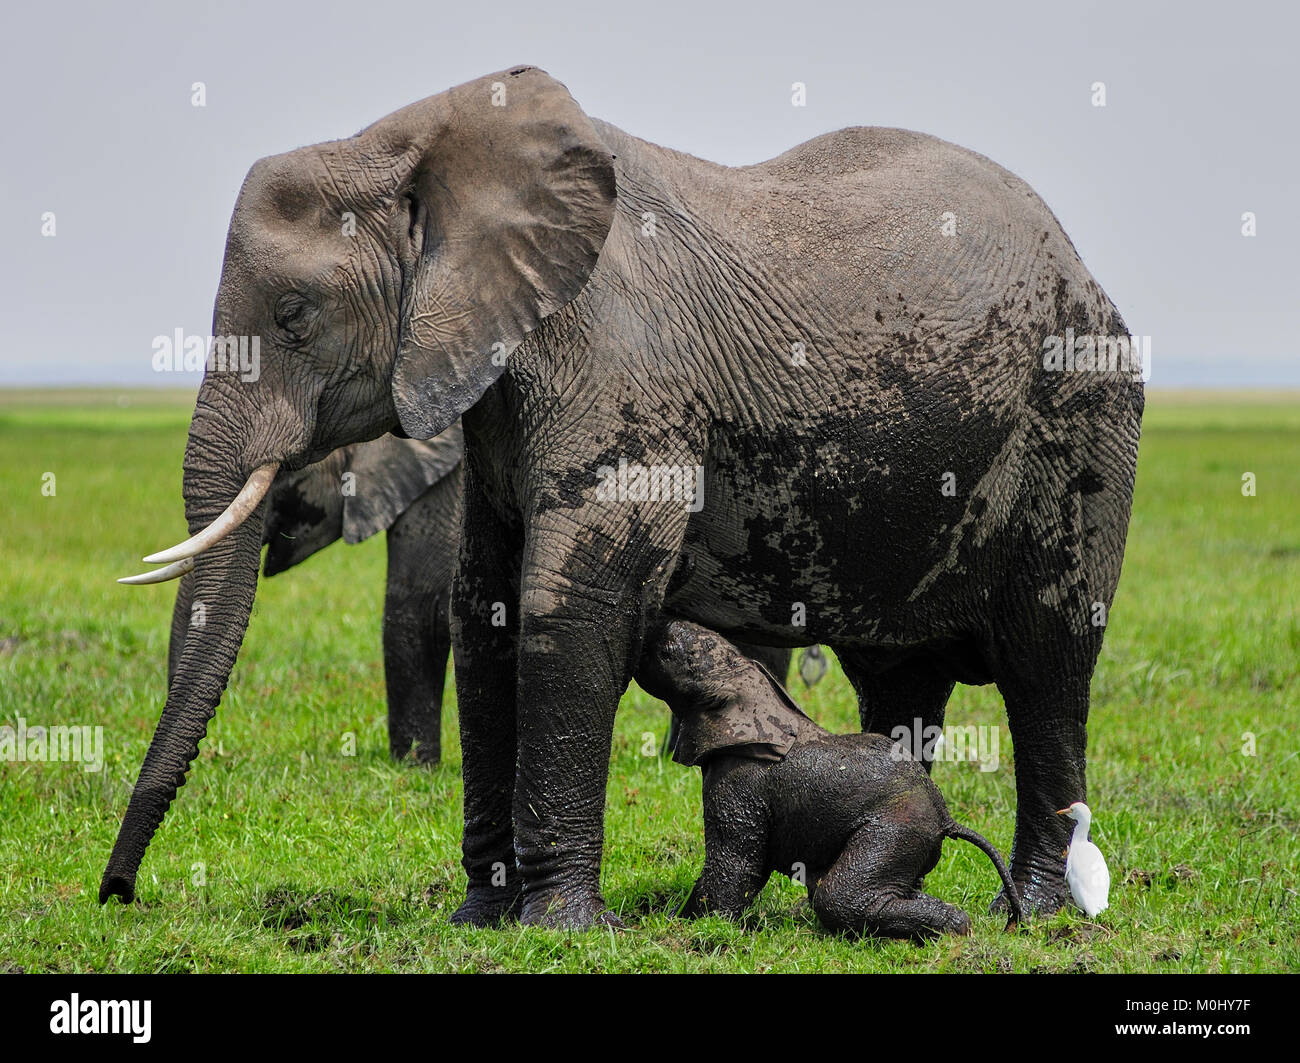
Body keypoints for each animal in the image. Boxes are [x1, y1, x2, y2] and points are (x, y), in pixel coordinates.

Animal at [638, 619, 1024, 939]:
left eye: (689, 652)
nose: (665, 621)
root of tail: (946, 817)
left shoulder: (740, 781)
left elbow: (736, 866)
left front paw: (680, 924)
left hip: (895, 828)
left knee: (836, 896)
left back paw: (955, 929)